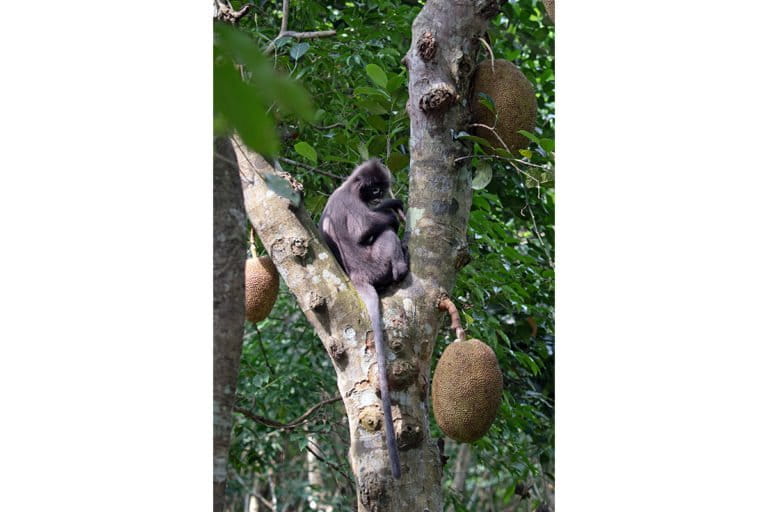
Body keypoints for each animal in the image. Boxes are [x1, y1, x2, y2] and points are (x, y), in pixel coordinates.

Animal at [319, 159, 408, 479]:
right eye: (375, 189)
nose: (379, 197)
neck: (349, 188)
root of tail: (358, 276)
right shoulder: (351, 202)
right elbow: (364, 231)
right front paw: (393, 206)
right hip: (377, 262)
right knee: (385, 233)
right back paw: (401, 267)